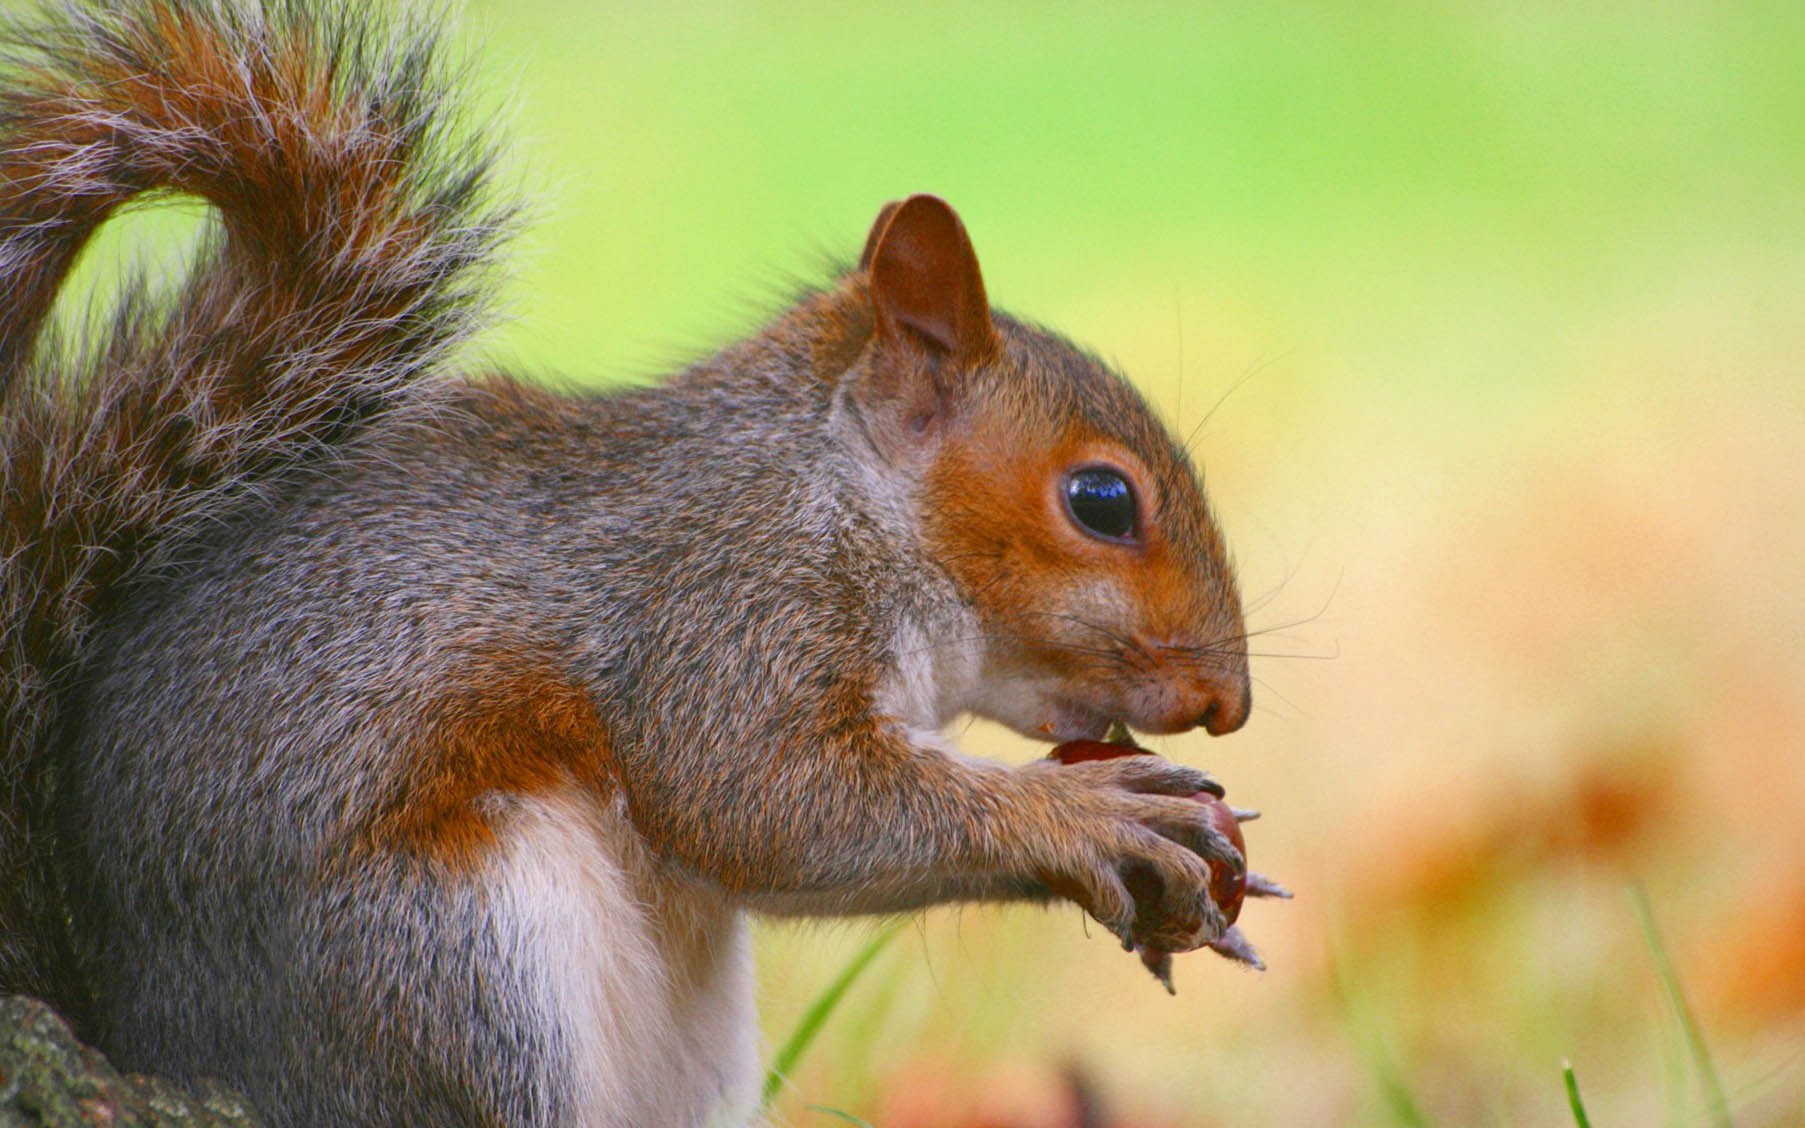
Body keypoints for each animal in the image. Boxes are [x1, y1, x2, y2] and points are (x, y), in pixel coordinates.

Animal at [0, 1, 1271, 1125]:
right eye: (1100, 501)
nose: (1229, 704)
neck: (836, 490)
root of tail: (141, 1026)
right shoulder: (719, 608)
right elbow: (762, 801)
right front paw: (1086, 816)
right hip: (446, 960)